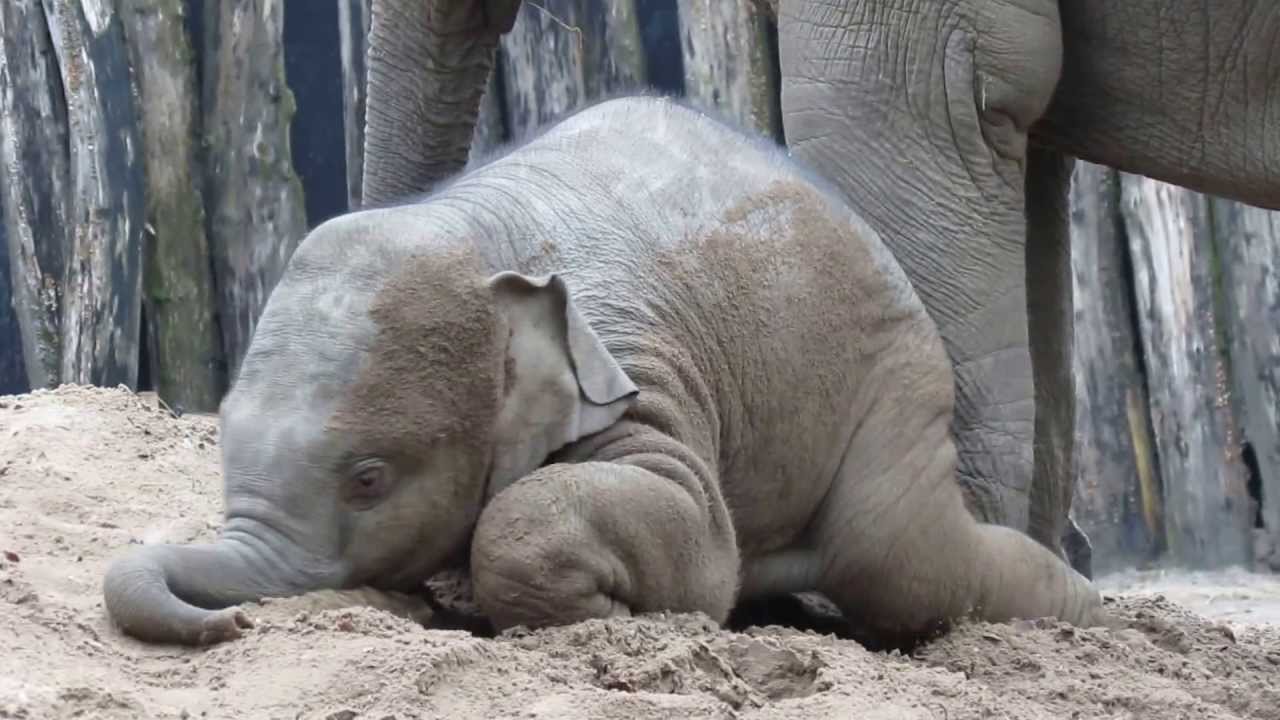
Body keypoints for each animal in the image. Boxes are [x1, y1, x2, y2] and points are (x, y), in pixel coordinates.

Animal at [101, 95, 1104, 646]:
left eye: (369, 479)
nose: (234, 623)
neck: (478, 231)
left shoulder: (638, 362)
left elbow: (697, 543)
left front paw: (618, 619)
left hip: (893, 386)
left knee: (900, 563)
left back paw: (1089, 612)